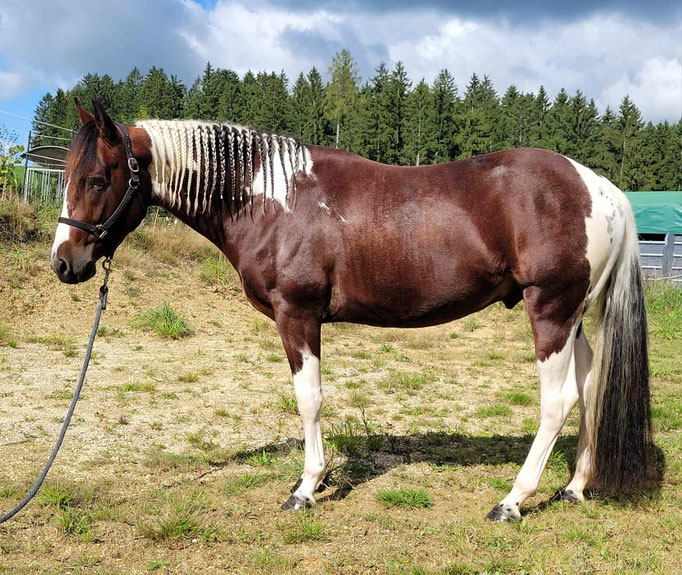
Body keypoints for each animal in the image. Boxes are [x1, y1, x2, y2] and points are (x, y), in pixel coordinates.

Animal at [50, 99, 654, 521]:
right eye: (66, 176)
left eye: (98, 179)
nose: (64, 262)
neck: (272, 198)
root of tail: (599, 187)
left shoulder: (297, 315)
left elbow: (309, 400)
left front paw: (306, 488)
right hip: (574, 315)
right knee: (591, 384)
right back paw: (574, 487)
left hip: (549, 309)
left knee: (558, 401)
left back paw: (513, 500)